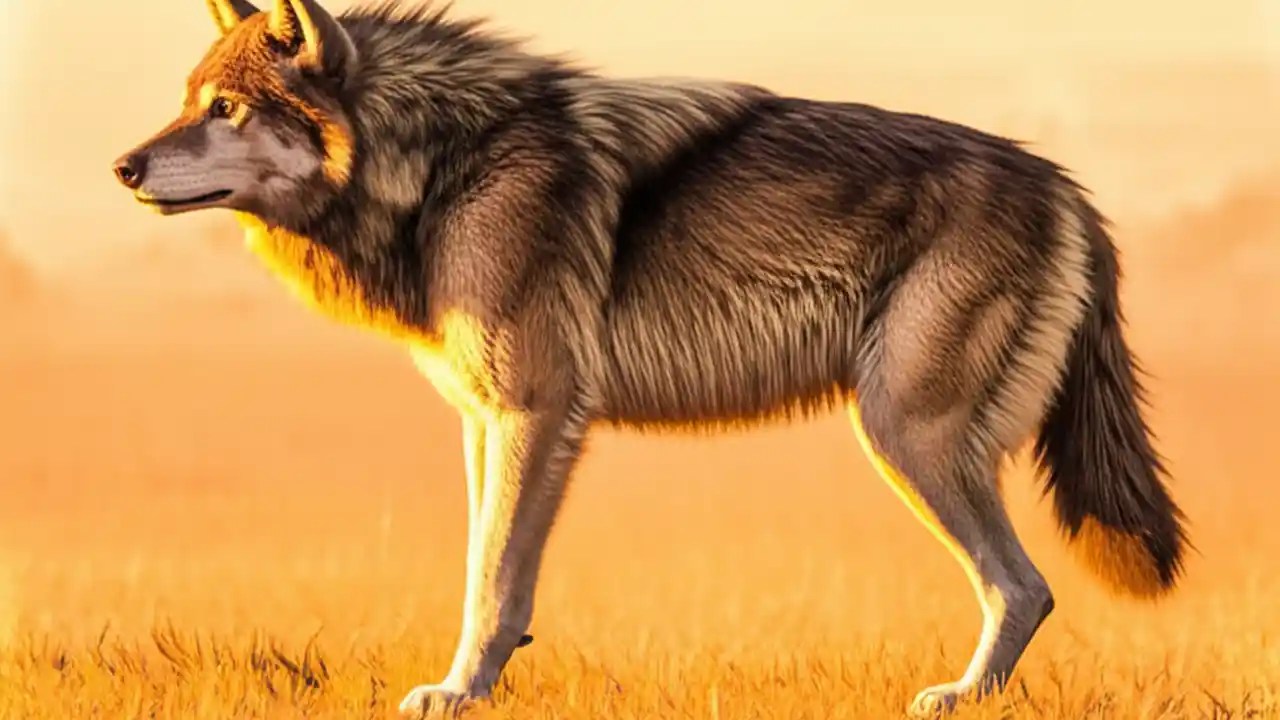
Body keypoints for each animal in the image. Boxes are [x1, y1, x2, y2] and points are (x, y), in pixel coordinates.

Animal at [112, 0, 1188, 716]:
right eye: (186, 100)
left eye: (226, 108)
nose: (122, 166)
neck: (445, 165)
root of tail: (1067, 187)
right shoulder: (481, 421)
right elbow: (478, 568)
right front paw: (479, 681)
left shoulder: (535, 412)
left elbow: (492, 578)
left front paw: (458, 693)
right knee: (1023, 586)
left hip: (903, 436)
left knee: (1022, 585)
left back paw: (958, 696)